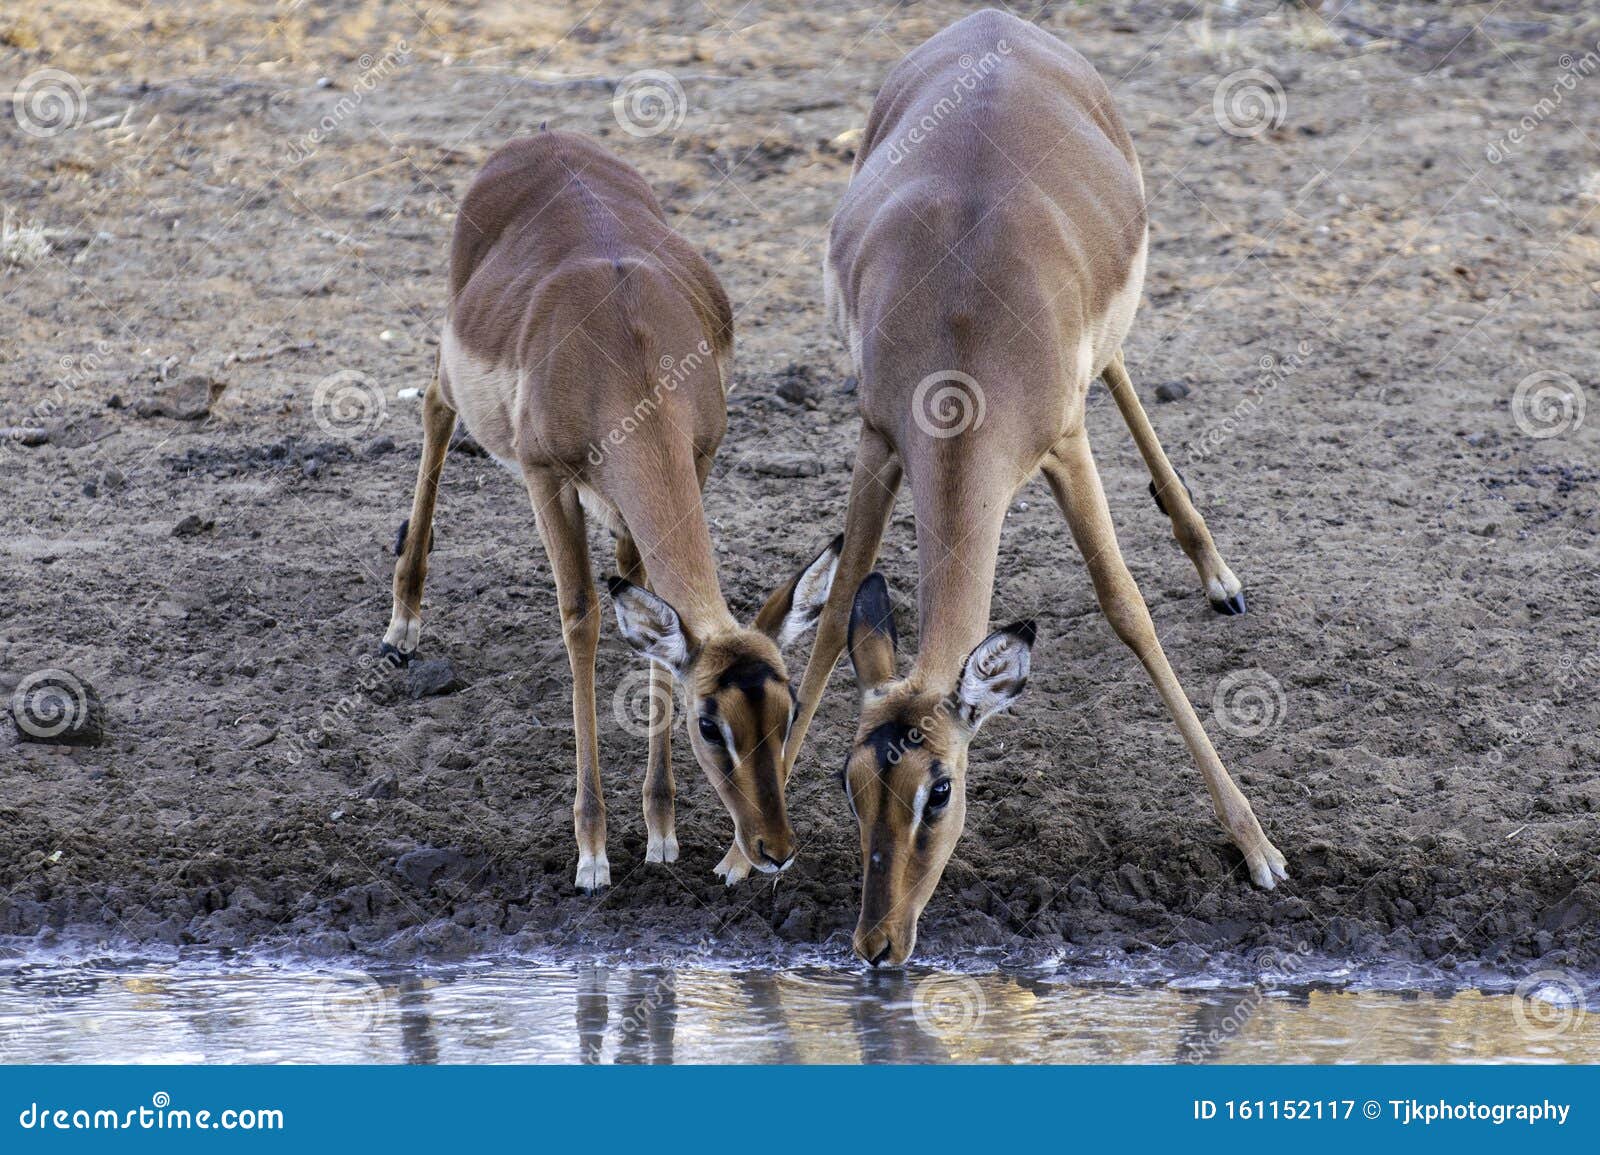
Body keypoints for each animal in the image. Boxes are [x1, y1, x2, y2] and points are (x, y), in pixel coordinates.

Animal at [383, 131, 841, 893]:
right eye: (709, 723)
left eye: (789, 709)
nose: (773, 848)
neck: (630, 349)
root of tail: (541, 137)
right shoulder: (546, 477)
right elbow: (583, 618)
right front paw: (592, 852)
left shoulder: (694, 460)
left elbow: (654, 624)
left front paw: (660, 831)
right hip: (458, 380)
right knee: (433, 405)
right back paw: (402, 625)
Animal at [784, 10, 1288, 965]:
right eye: (849, 777)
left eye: (941, 787)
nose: (877, 942)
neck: (963, 331)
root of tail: (996, 20)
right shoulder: (878, 442)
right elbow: (834, 612)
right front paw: (743, 843)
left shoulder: (1065, 446)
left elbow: (1127, 608)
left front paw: (1257, 844)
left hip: (1100, 362)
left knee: (1121, 369)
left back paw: (1219, 575)